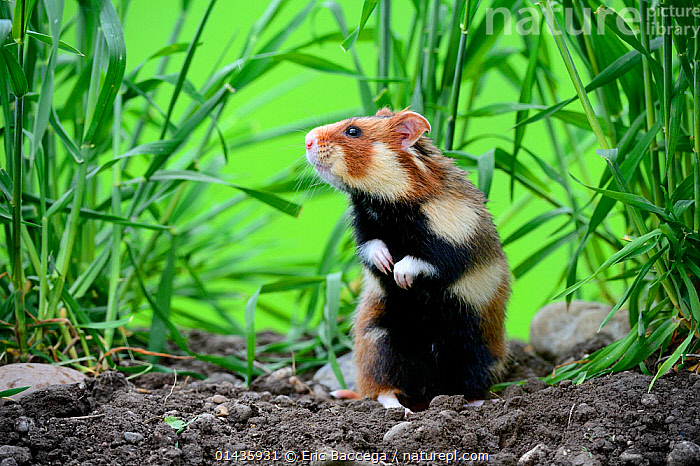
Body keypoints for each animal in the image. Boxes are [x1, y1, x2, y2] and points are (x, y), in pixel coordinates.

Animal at [305, 108, 510, 413]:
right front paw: (385, 263)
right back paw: (395, 406)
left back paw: (478, 403)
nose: (307, 140)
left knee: (469, 383)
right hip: (379, 341)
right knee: (382, 387)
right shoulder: (364, 227)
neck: (387, 202)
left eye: (353, 131)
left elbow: (425, 258)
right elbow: (372, 246)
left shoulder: (455, 239)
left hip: (471, 348)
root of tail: (426, 393)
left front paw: (399, 275)